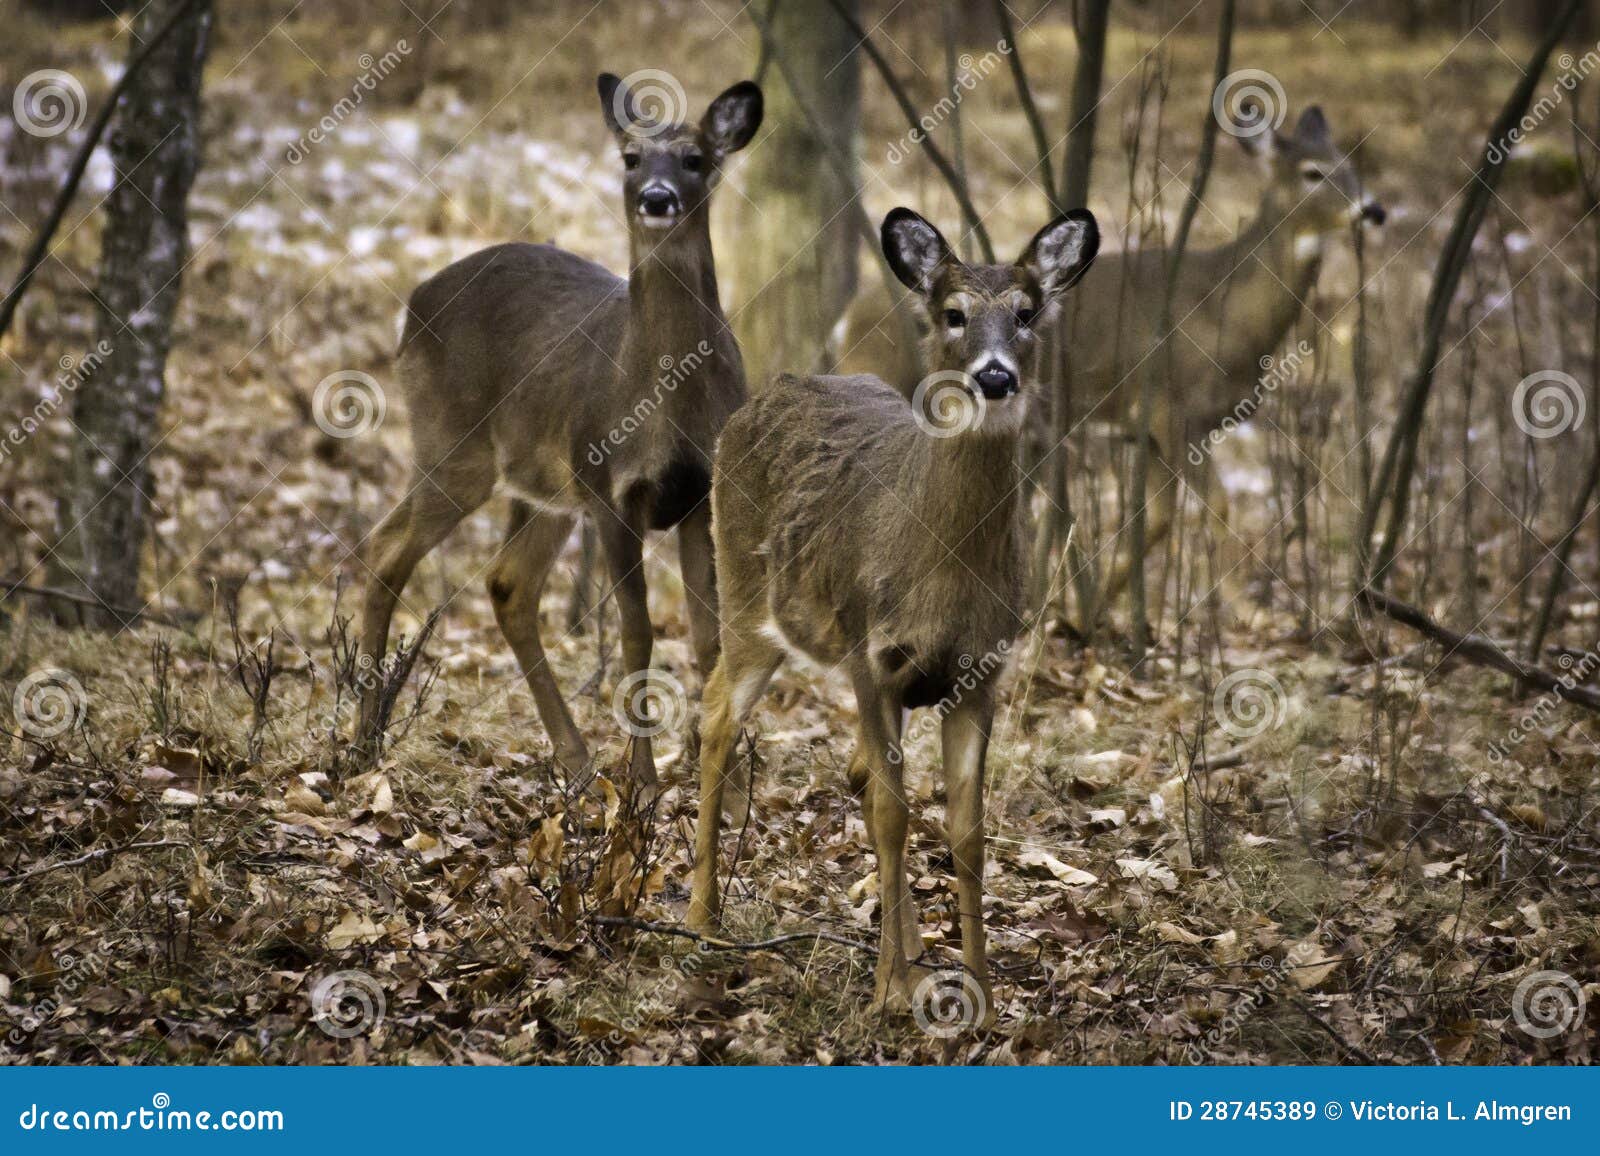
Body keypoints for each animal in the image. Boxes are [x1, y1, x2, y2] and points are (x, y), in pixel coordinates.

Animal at [357, 74, 763, 788]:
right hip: (453, 446)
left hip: (542, 484)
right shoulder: (610, 489)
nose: (657, 198)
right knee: (385, 548)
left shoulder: (699, 494)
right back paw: (361, 743)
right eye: (630, 157)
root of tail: (413, 304)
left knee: (507, 584)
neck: (666, 393)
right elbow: (637, 633)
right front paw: (644, 785)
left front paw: (728, 784)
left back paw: (573, 761)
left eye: (695, 158)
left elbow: (709, 636)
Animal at [688, 205, 1099, 1022]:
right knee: (716, 714)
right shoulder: (866, 652)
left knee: (854, 770)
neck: (941, 569)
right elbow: (891, 813)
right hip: (746, 598)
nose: (995, 375)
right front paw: (885, 992)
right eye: (953, 314)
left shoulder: (980, 671)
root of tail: (757, 400)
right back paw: (701, 915)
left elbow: (965, 829)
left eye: (1027, 313)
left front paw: (979, 993)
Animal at [830, 106, 1384, 583]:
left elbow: (1158, 520)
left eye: (1351, 164)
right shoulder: (1169, 407)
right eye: (1314, 172)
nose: (1374, 210)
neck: (1225, 311)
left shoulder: (1148, 431)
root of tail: (847, 315)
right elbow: (1216, 509)